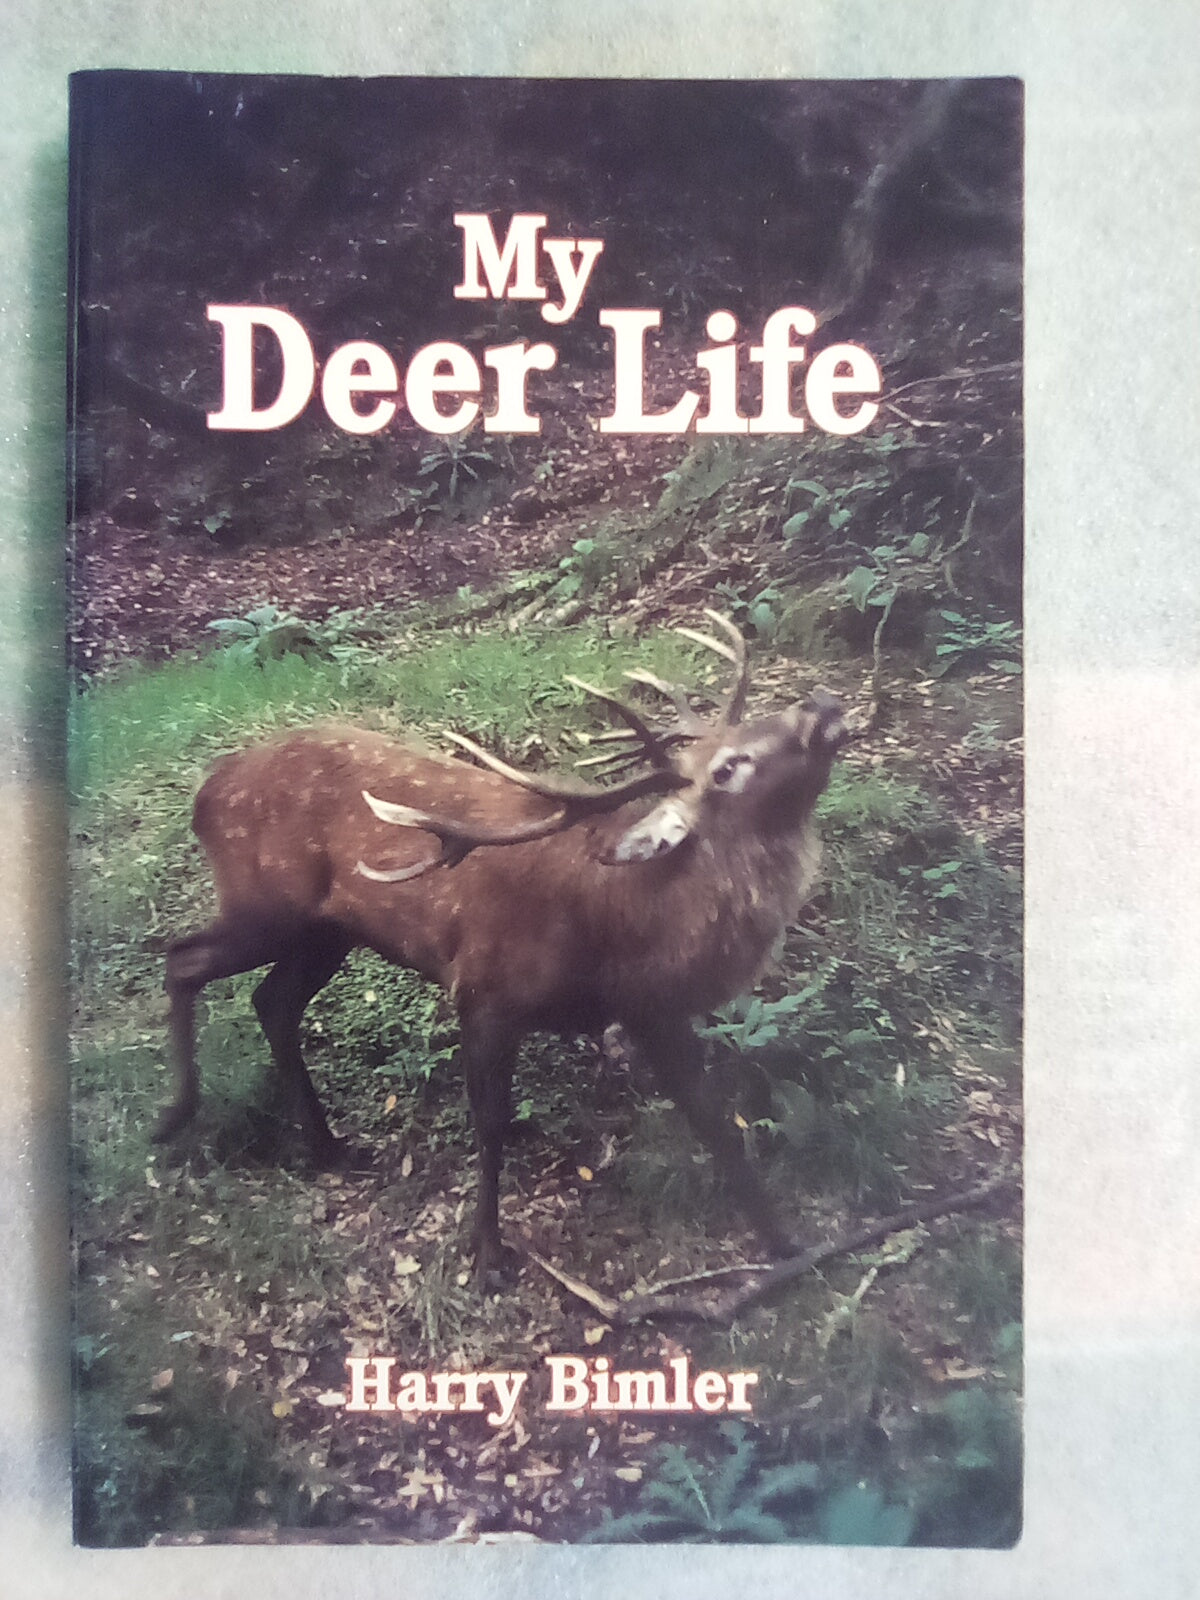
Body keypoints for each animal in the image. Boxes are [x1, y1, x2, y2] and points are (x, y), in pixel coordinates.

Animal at [155, 614, 847, 1277]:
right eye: (728, 768)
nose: (822, 707)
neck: (628, 930)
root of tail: (205, 792)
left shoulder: (653, 1013)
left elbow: (716, 1124)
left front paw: (789, 1247)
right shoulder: (486, 989)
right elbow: (492, 1125)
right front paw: (487, 1254)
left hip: (328, 931)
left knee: (271, 1001)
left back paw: (328, 1147)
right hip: (263, 906)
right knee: (182, 959)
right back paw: (176, 1116)